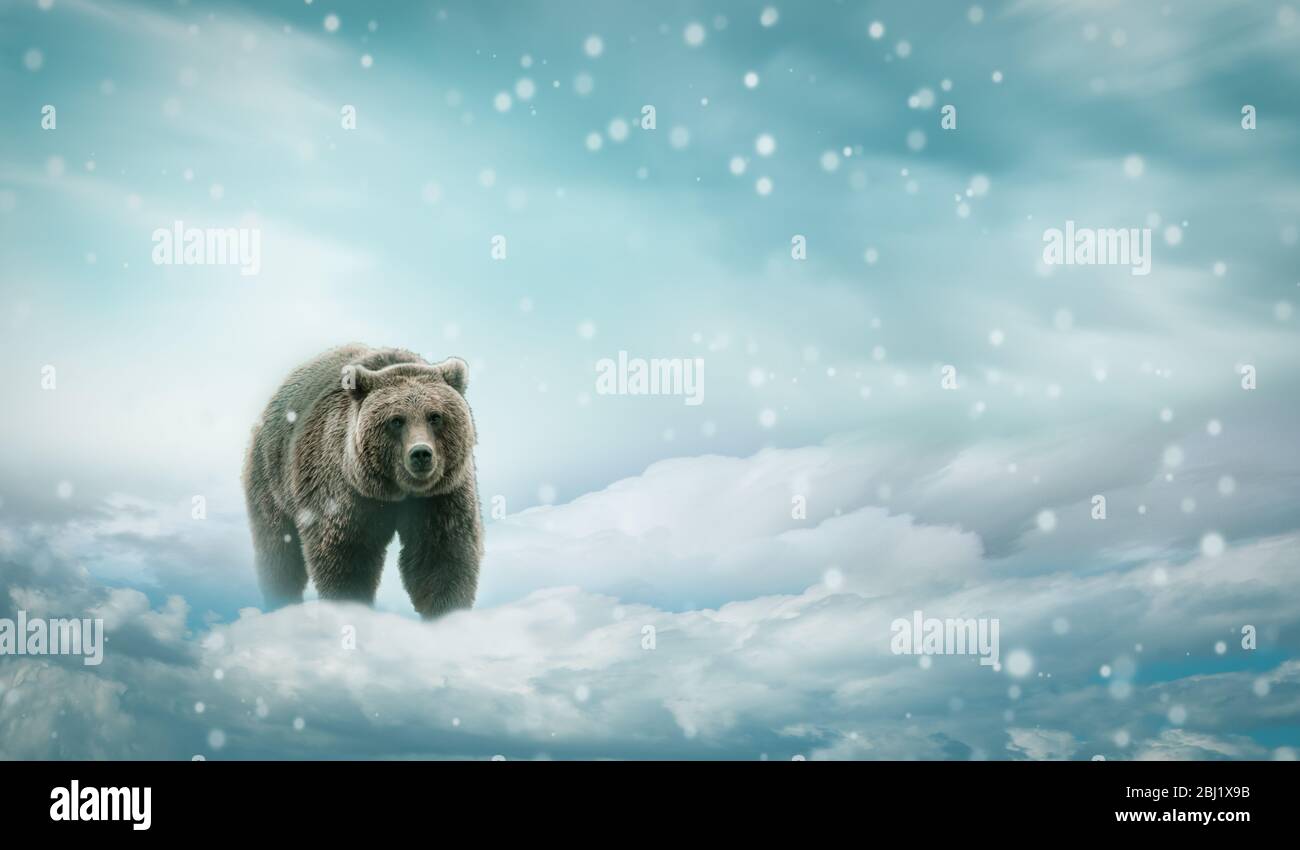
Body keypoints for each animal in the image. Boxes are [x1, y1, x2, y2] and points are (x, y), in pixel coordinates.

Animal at [242, 344, 482, 618]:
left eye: (435, 416)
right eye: (396, 420)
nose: (421, 453)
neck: (395, 490)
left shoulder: (439, 495)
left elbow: (440, 555)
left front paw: (444, 612)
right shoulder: (345, 492)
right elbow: (346, 555)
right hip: (272, 480)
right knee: (279, 552)